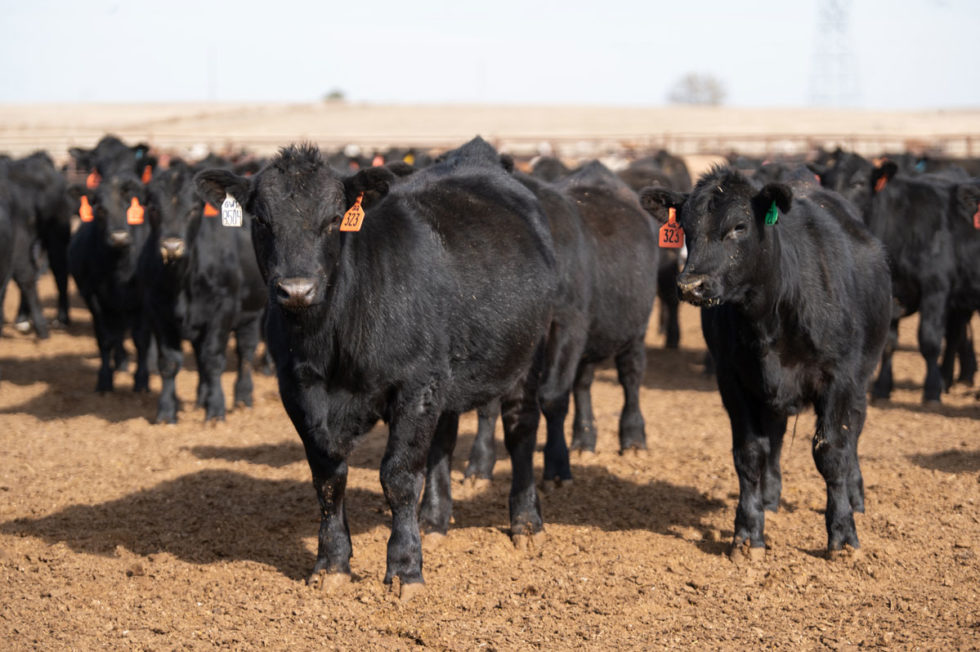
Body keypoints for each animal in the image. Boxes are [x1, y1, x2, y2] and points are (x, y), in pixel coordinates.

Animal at [68, 173, 152, 392]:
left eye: (127, 207)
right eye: (99, 209)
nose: (119, 237)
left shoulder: (143, 301)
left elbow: (141, 339)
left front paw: (142, 379)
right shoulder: (95, 298)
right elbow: (106, 338)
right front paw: (105, 379)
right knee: (117, 334)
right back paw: (121, 362)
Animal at [139, 162, 267, 423]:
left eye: (194, 209)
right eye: (153, 208)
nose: (171, 246)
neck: (182, 281)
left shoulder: (223, 309)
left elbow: (213, 359)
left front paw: (216, 410)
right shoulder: (157, 310)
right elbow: (168, 362)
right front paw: (166, 411)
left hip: (252, 313)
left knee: (245, 353)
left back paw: (242, 397)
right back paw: (201, 398)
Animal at [194, 138, 558, 598]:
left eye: (334, 219)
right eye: (260, 219)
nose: (297, 289)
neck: (332, 339)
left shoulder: (415, 385)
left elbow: (398, 476)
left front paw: (404, 568)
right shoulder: (297, 390)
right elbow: (328, 477)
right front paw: (331, 563)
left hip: (528, 356)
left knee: (520, 430)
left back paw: (525, 523)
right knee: (442, 442)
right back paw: (433, 522)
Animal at [640, 166, 891, 560]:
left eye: (739, 226)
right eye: (686, 228)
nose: (691, 284)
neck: (769, 315)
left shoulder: (838, 378)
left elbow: (832, 451)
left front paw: (842, 535)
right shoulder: (732, 380)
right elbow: (749, 454)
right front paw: (747, 532)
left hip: (862, 377)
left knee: (853, 433)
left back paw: (854, 495)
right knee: (773, 437)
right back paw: (770, 498)